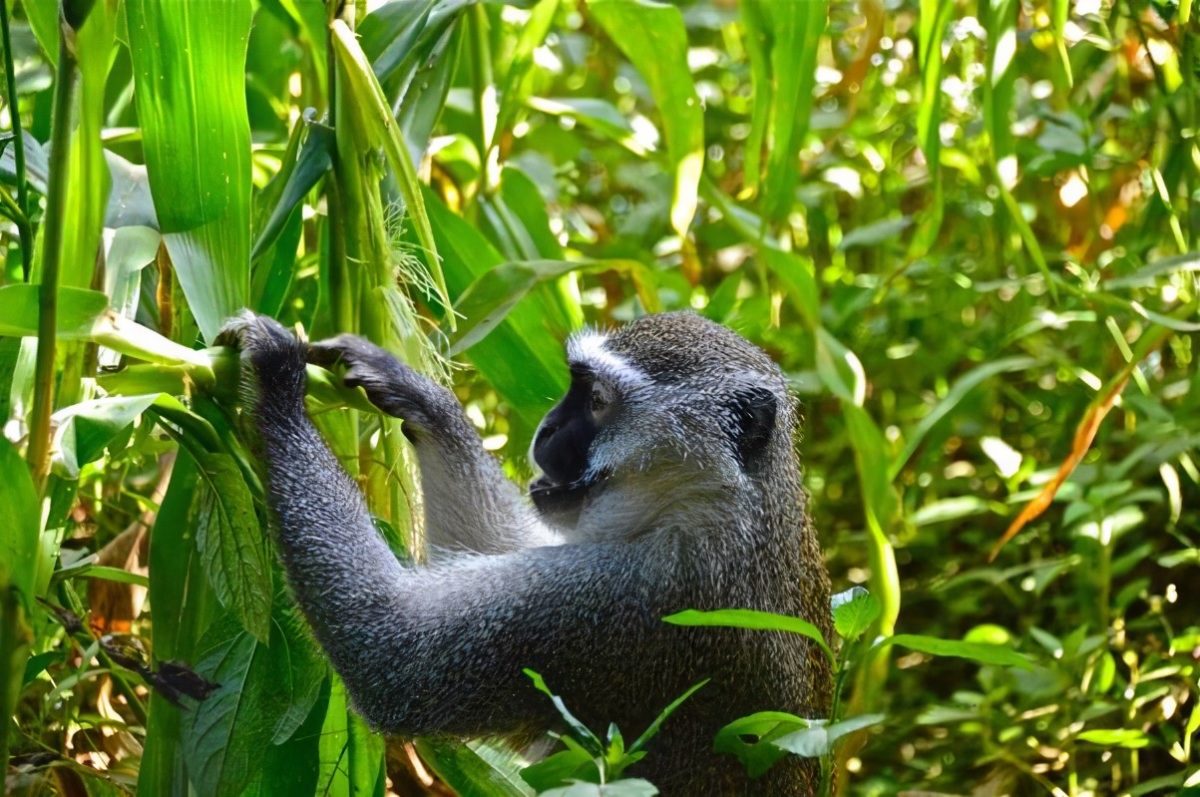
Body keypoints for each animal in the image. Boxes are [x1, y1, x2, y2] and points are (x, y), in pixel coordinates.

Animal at [216, 310, 833, 795]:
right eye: (575, 388)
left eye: (598, 401)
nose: (548, 427)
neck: (717, 505)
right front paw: (420, 396)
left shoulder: (638, 600)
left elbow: (395, 658)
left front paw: (279, 382)